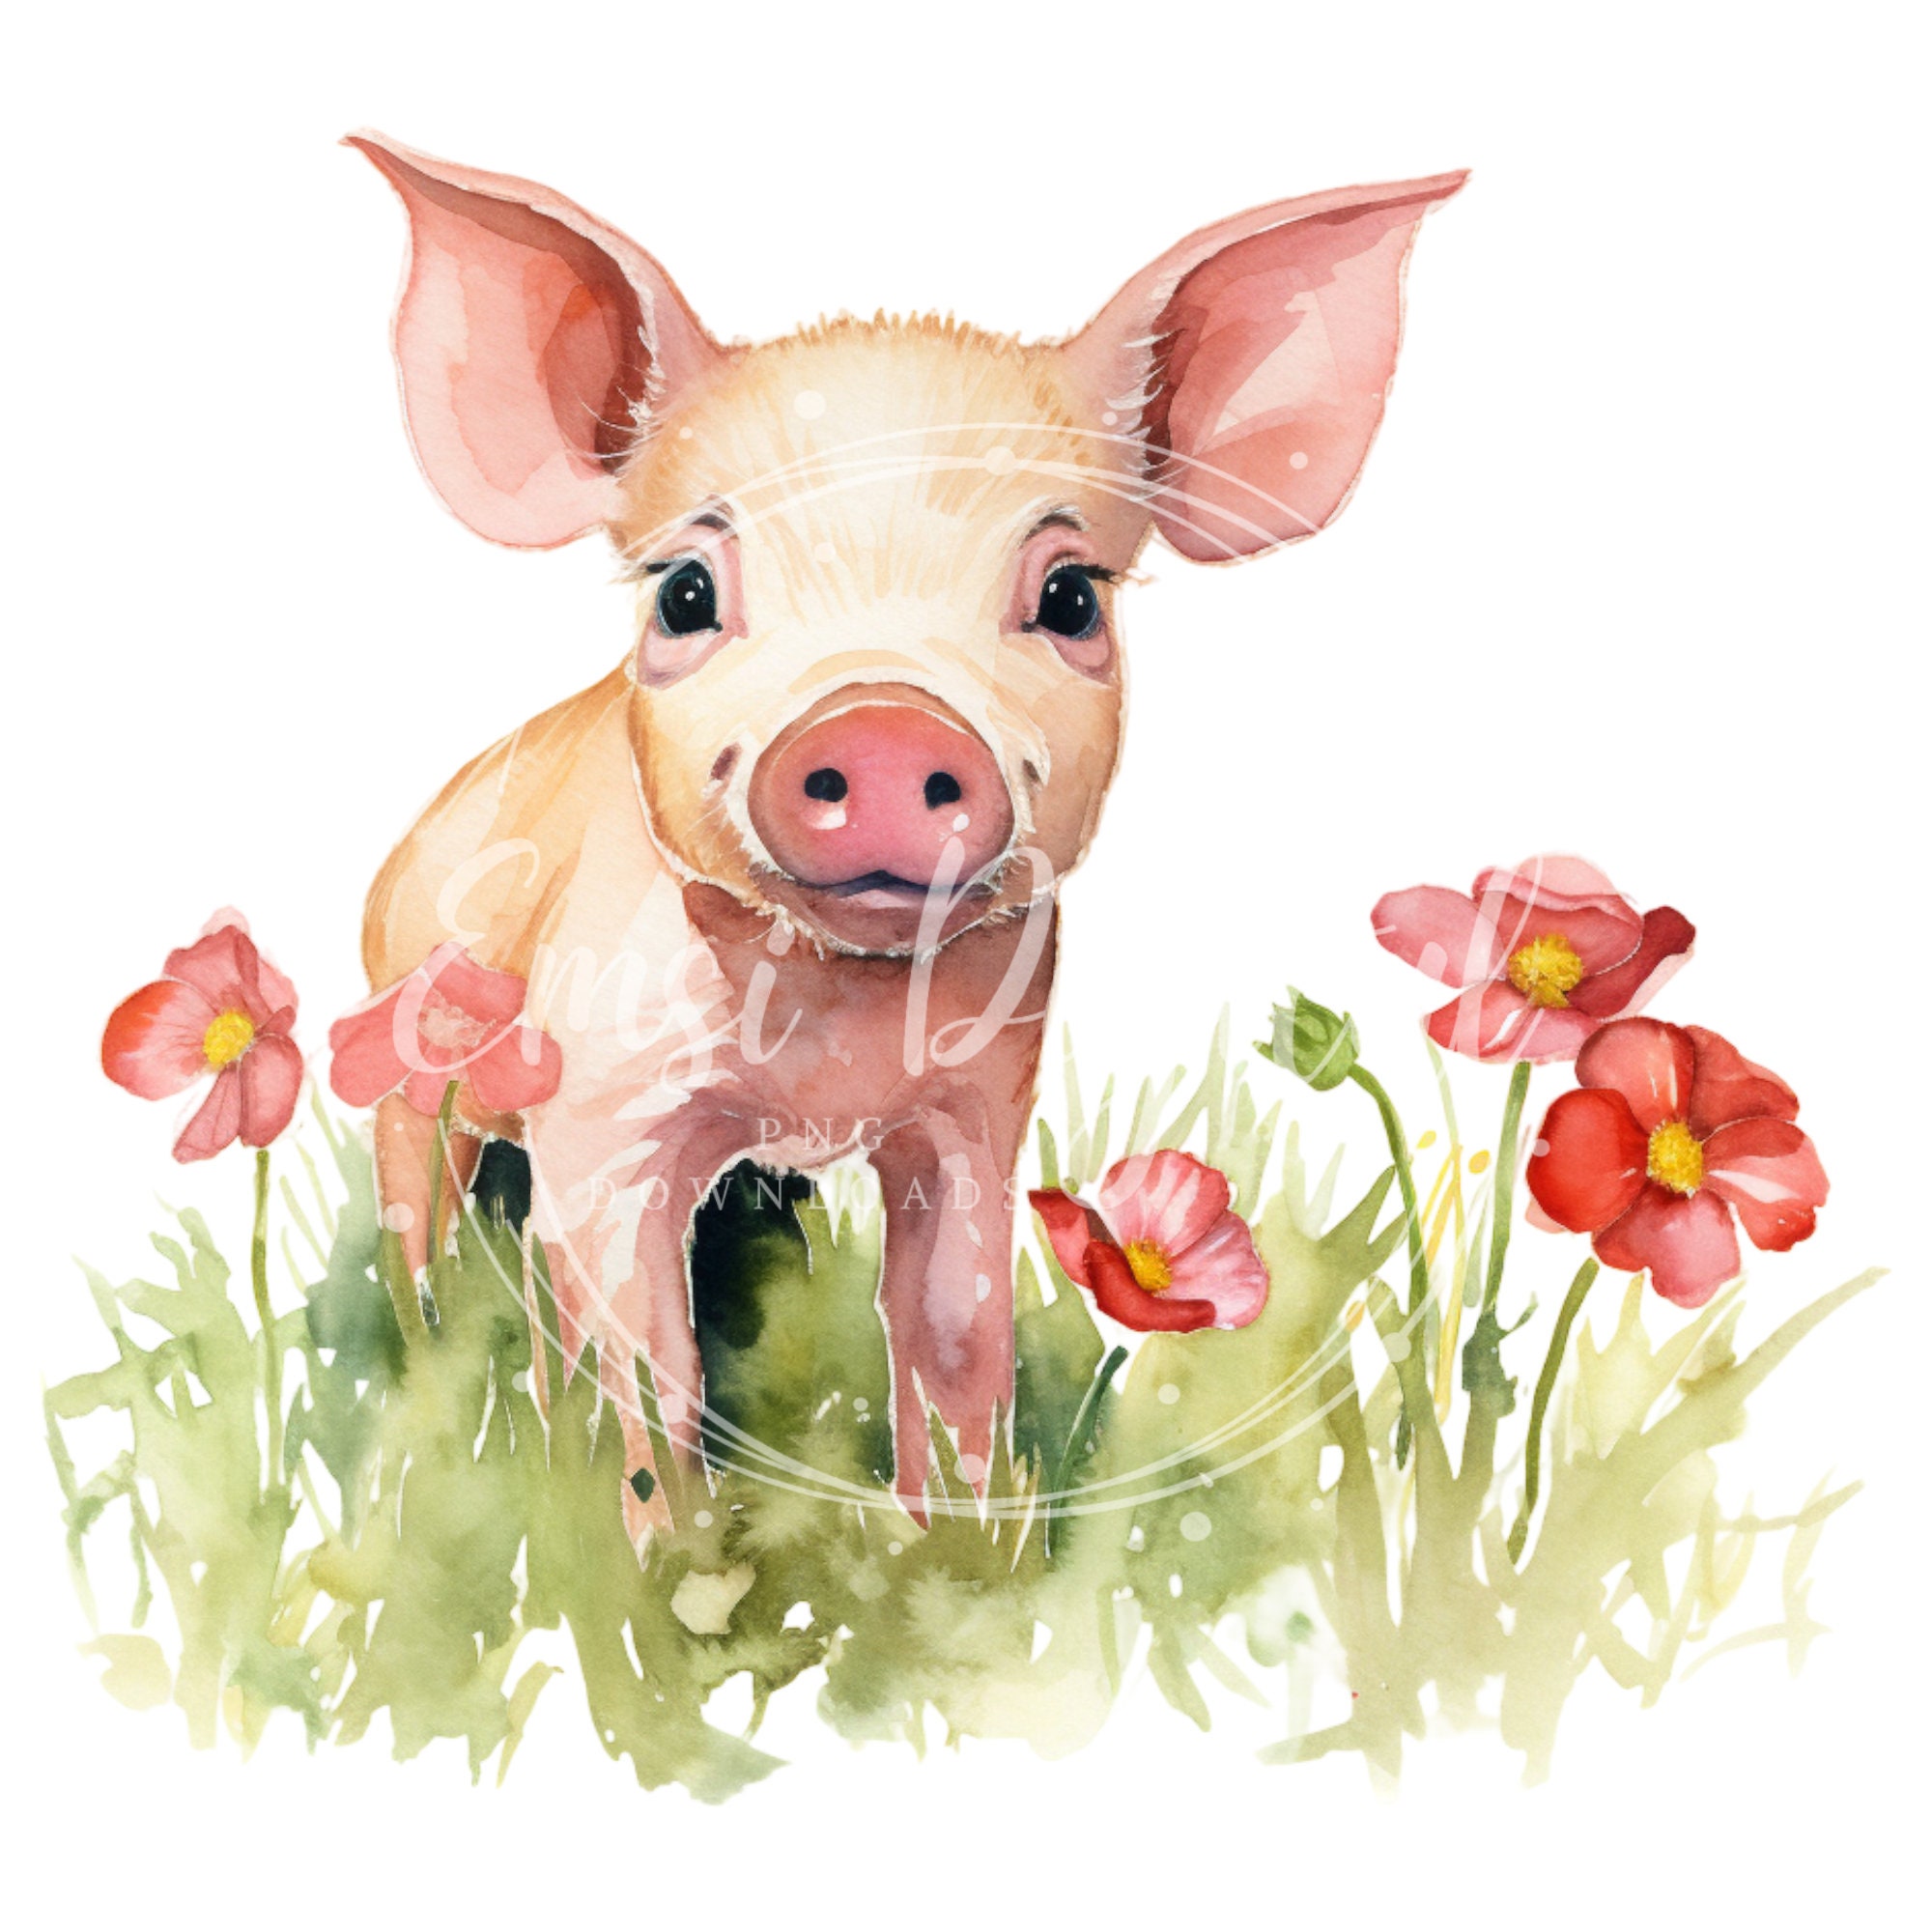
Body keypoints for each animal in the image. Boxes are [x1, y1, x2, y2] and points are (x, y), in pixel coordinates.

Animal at [347, 130, 1463, 1531]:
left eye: (1070, 594)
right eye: (686, 591)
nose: (883, 726)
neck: (830, 1035)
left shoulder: (977, 1103)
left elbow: (954, 1330)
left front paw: (960, 1555)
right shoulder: (606, 1105)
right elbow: (652, 1360)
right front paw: (665, 1559)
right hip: (407, 1052)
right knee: (435, 1245)